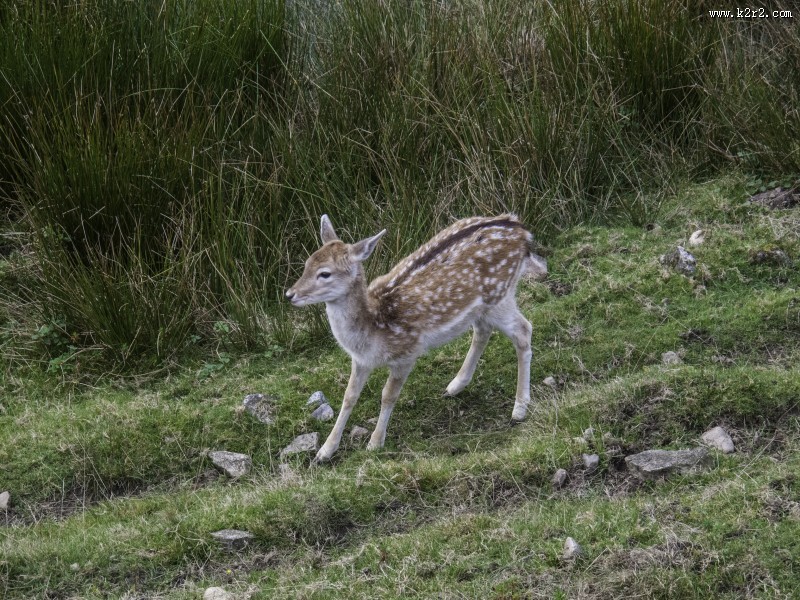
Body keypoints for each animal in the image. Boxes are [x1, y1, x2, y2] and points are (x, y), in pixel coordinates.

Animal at [285, 214, 547, 463]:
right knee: (483, 330)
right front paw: (325, 451)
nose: (289, 294)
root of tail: (521, 230)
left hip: (499, 295)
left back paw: (519, 409)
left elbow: (388, 395)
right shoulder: (360, 360)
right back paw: (455, 385)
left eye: (325, 273)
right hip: (480, 308)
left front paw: (375, 443)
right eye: (306, 263)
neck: (374, 332)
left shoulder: (407, 353)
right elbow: (349, 397)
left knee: (523, 330)